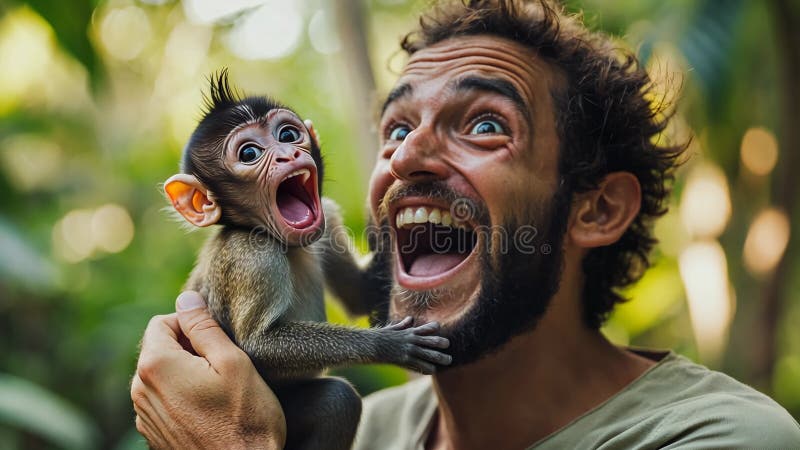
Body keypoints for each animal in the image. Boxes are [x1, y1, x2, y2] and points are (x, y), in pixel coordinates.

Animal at [163, 70, 452, 450]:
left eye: (287, 135)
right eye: (250, 153)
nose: (287, 156)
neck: (285, 244)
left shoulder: (325, 221)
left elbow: (359, 296)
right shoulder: (253, 254)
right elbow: (257, 345)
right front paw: (389, 344)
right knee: (339, 399)